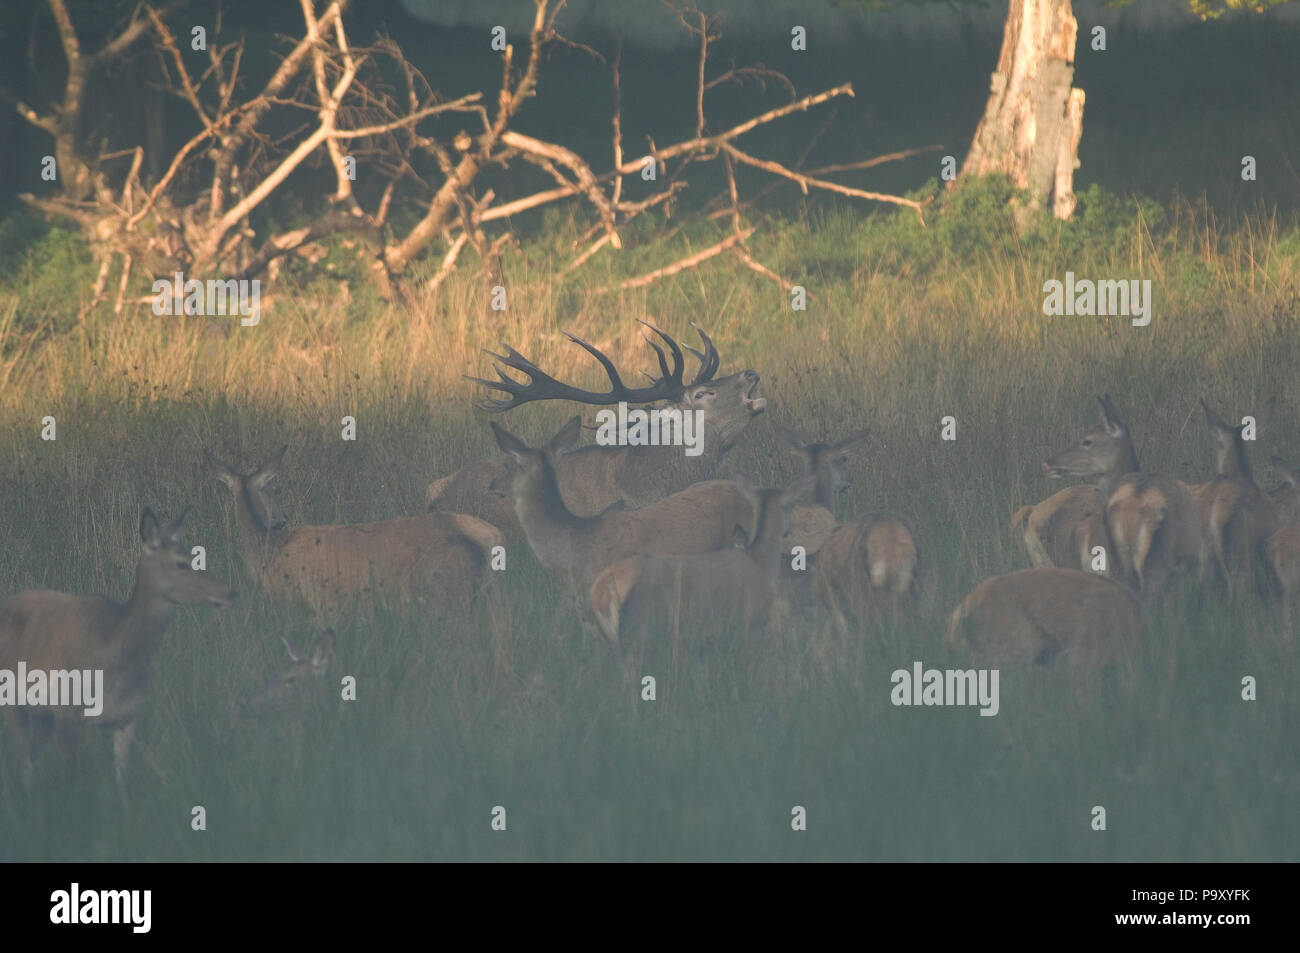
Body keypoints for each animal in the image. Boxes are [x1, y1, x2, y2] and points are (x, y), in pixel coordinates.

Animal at [0, 508, 238, 792]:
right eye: (182, 563)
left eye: (195, 554)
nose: (231, 593)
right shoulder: (65, 709)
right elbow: (71, 781)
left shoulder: (129, 715)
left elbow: (123, 782)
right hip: (12, 700)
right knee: (20, 761)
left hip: (40, 715)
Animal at [205, 447, 504, 615]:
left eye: (276, 488)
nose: (282, 519)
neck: (270, 553)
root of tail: (493, 537)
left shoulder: (312, 603)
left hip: (446, 593)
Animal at [588, 475, 815, 648]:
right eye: (791, 506)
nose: (788, 530)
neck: (760, 561)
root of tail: (600, 591)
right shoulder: (750, 623)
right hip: (643, 627)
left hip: (611, 637)